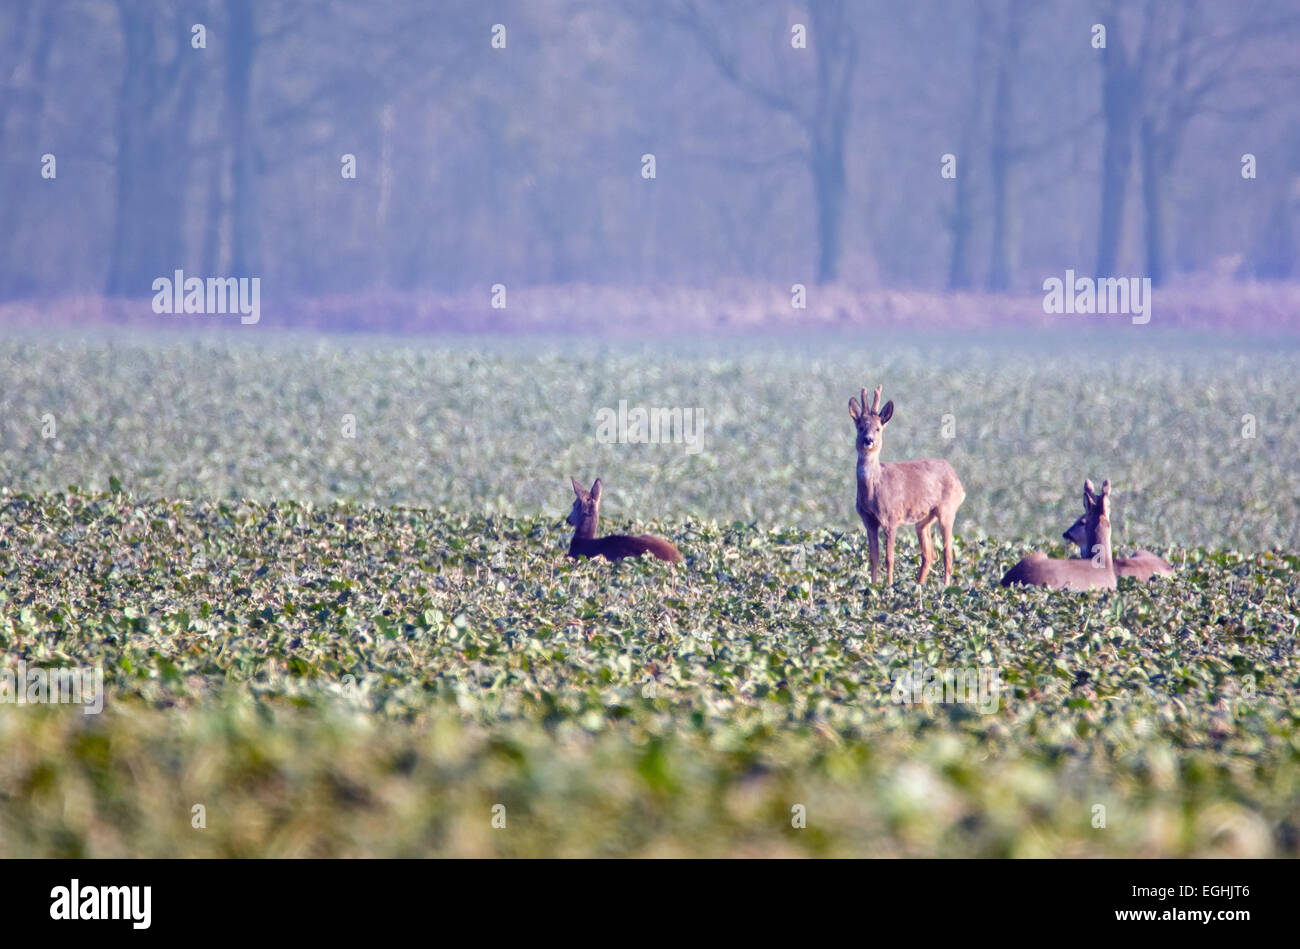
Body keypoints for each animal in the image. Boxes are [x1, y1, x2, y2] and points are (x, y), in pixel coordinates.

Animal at [849, 384, 966, 586]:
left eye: (878, 428)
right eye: (860, 427)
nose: (868, 440)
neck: (873, 490)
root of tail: (959, 484)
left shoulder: (891, 517)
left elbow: (889, 557)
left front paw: (888, 586)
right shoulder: (868, 520)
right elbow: (873, 557)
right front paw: (873, 586)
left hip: (947, 510)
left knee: (947, 554)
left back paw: (945, 587)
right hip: (923, 519)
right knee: (929, 554)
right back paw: (919, 586)